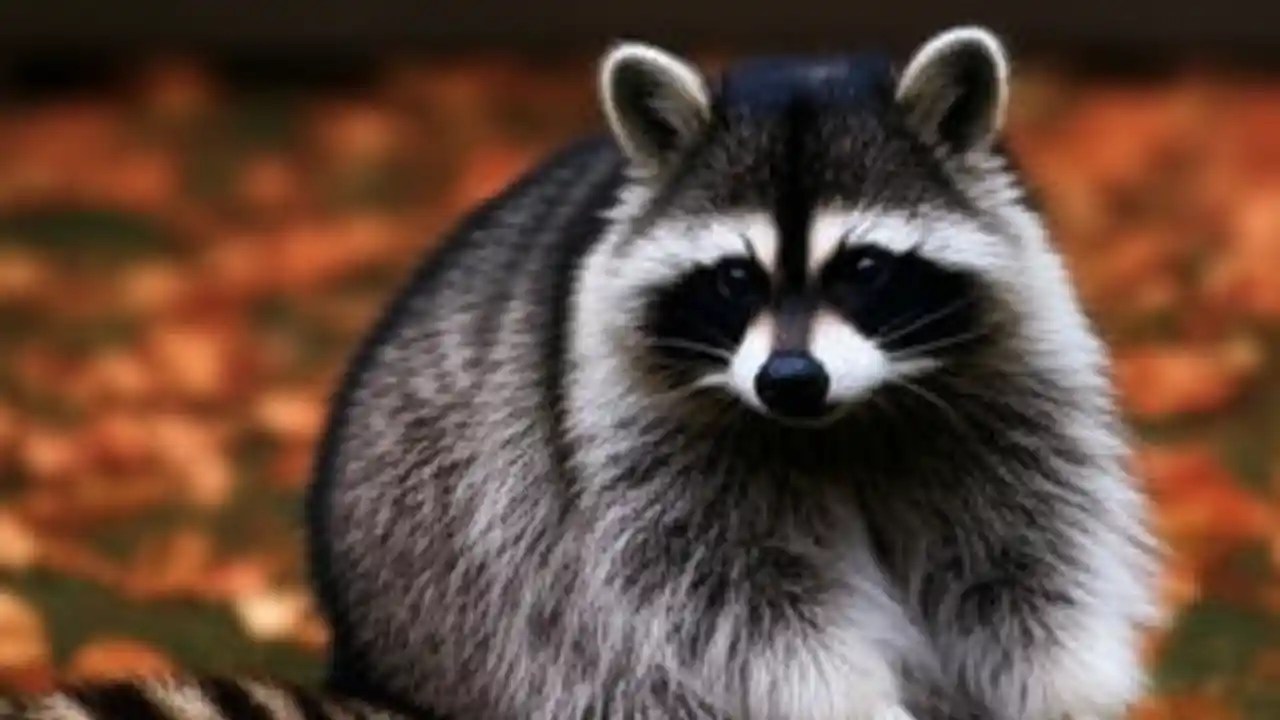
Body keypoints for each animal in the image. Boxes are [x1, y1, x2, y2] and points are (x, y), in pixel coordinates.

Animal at [308, 26, 1158, 720]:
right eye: (735, 279)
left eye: (865, 268)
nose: (790, 378)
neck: (842, 416)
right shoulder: (633, 428)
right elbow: (740, 605)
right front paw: (856, 704)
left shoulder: (1013, 384)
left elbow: (1027, 566)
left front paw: (1065, 693)